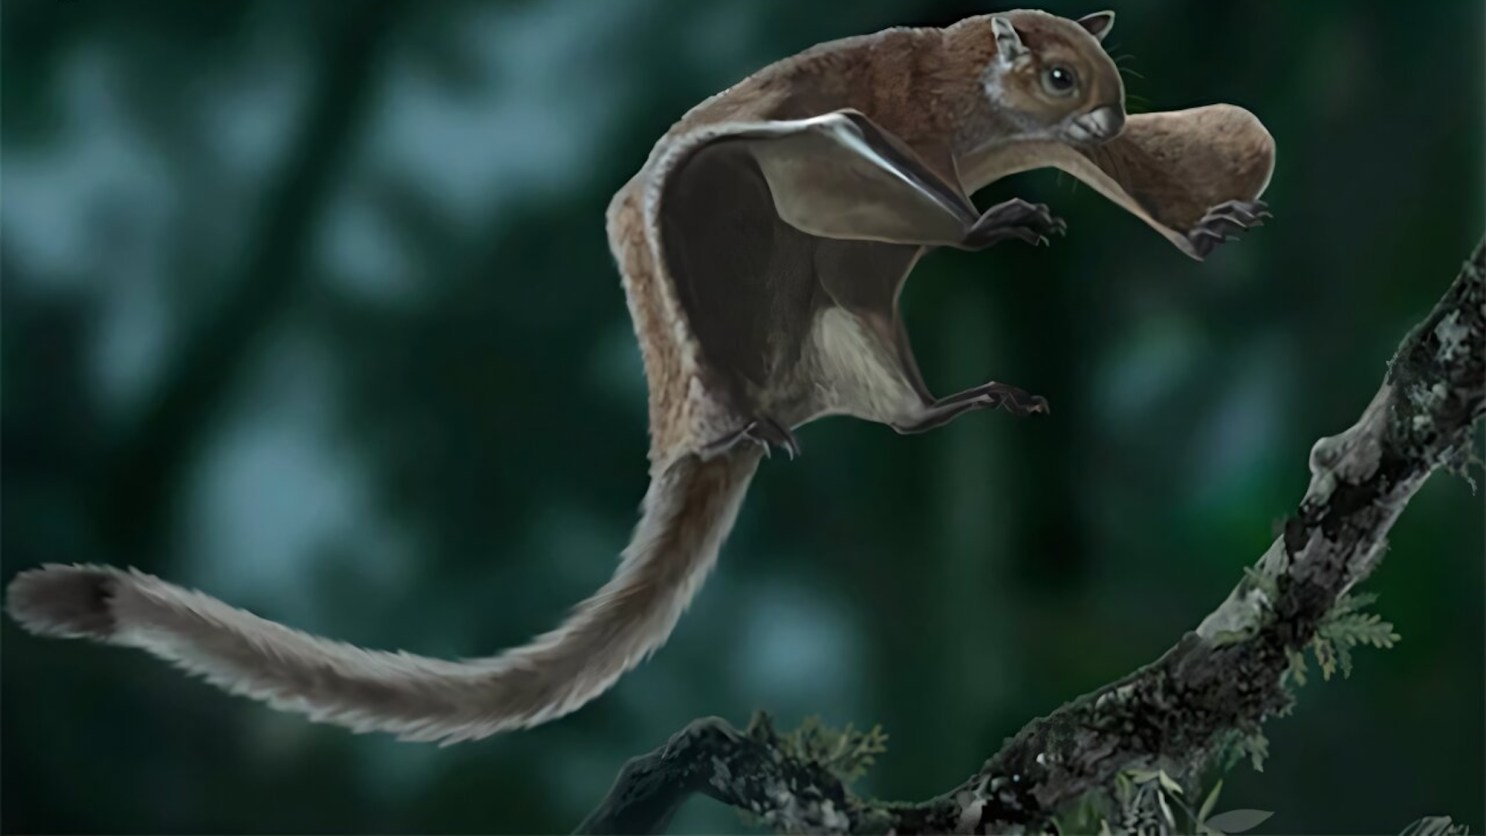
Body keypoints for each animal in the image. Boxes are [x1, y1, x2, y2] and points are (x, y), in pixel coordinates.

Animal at [6, 9, 1274, 744]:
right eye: (1060, 74)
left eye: (1104, 75)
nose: (1104, 115)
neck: (965, 106)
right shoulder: (873, 128)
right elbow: (892, 173)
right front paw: (990, 223)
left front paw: (1202, 226)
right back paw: (757, 427)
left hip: (853, 321)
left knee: (905, 411)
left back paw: (938, 400)